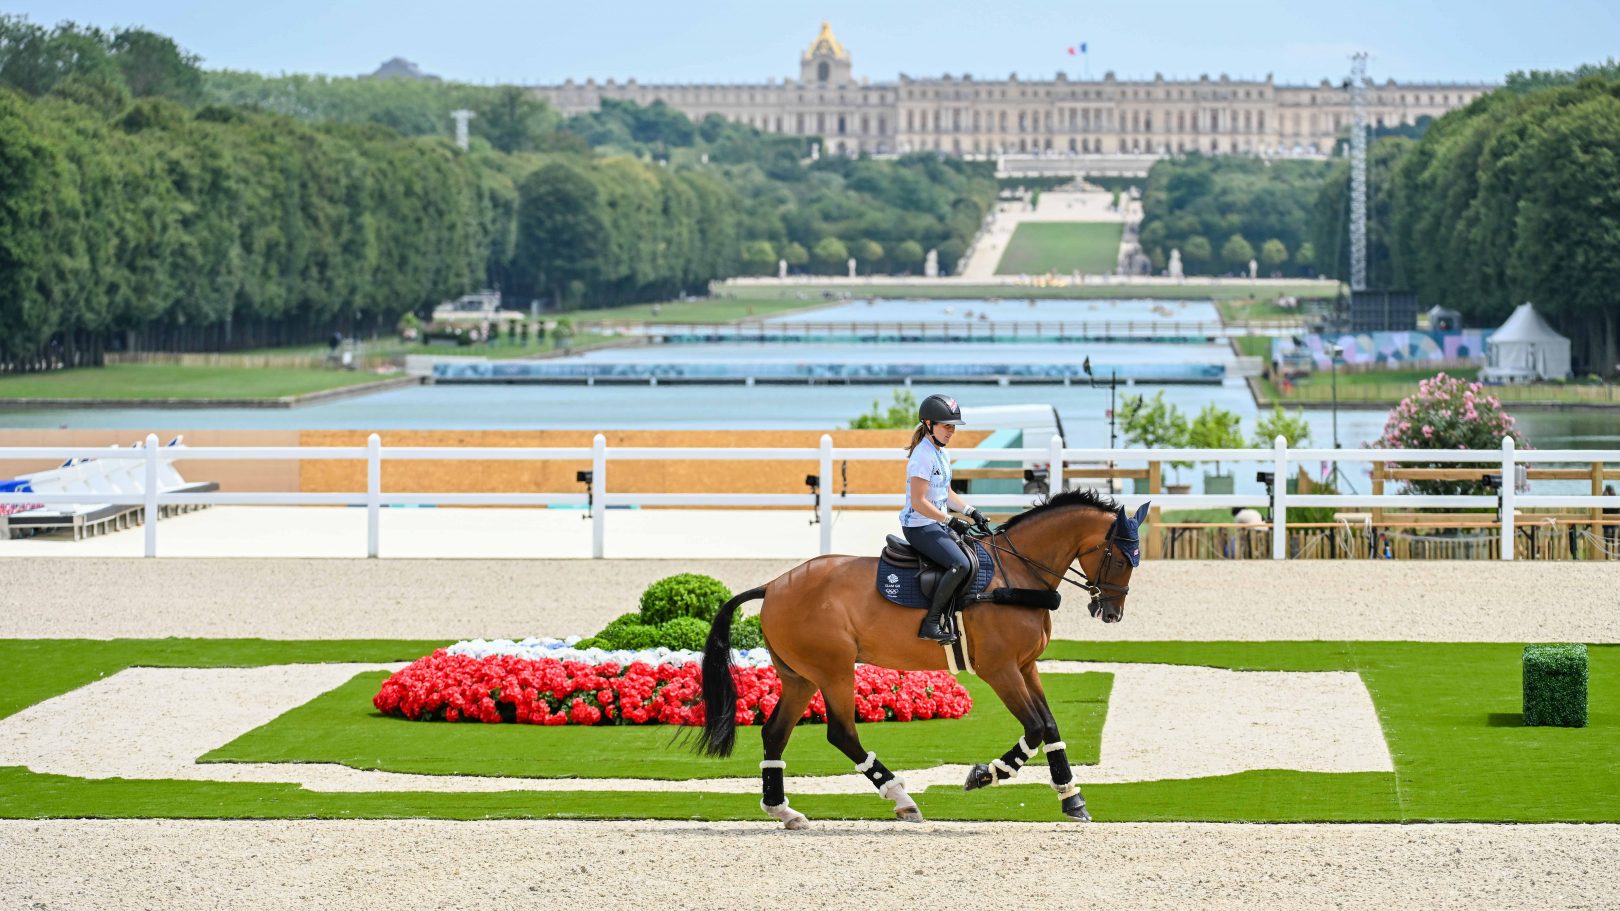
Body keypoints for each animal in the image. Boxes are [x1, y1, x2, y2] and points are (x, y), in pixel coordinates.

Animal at [696, 489, 1148, 828]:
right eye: (1120, 558)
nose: (1112, 613)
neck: (1016, 572)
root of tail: (774, 584)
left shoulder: (1026, 666)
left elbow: (1050, 727)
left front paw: (1071, 797)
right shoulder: (1000, 670)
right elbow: (1035, 728)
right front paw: (986, 774)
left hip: (800, 677)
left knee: (775, 733)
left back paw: (784, 810)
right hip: (834, 671)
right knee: (842, 733)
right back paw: (901, 797)